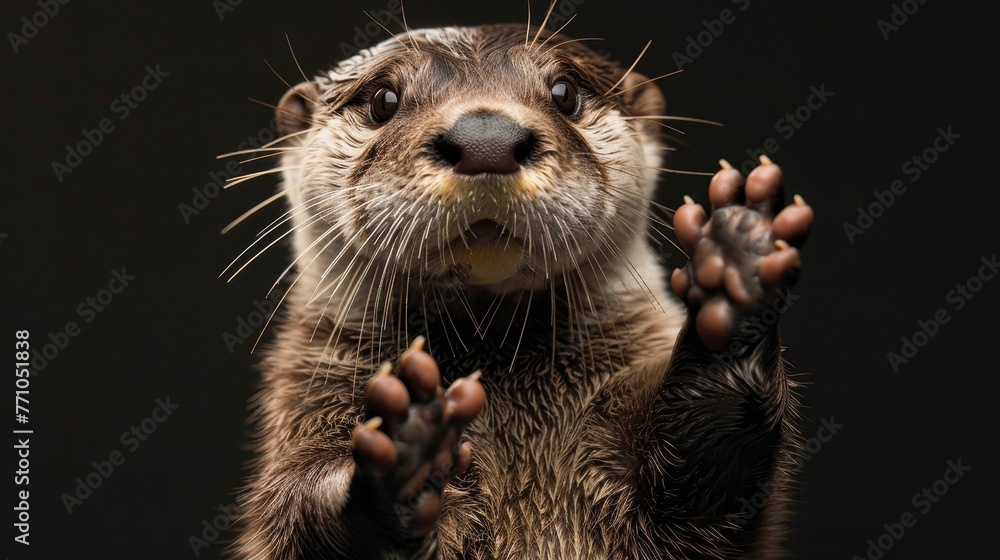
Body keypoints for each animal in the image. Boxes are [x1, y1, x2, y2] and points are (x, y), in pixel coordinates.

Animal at [229, 19, 814, 560]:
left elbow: (709, 476)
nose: (485, 138)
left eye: (565, 92)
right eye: (382, 99)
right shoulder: (306, 409)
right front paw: (402, 452)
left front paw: (738, 266)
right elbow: (302, 511)